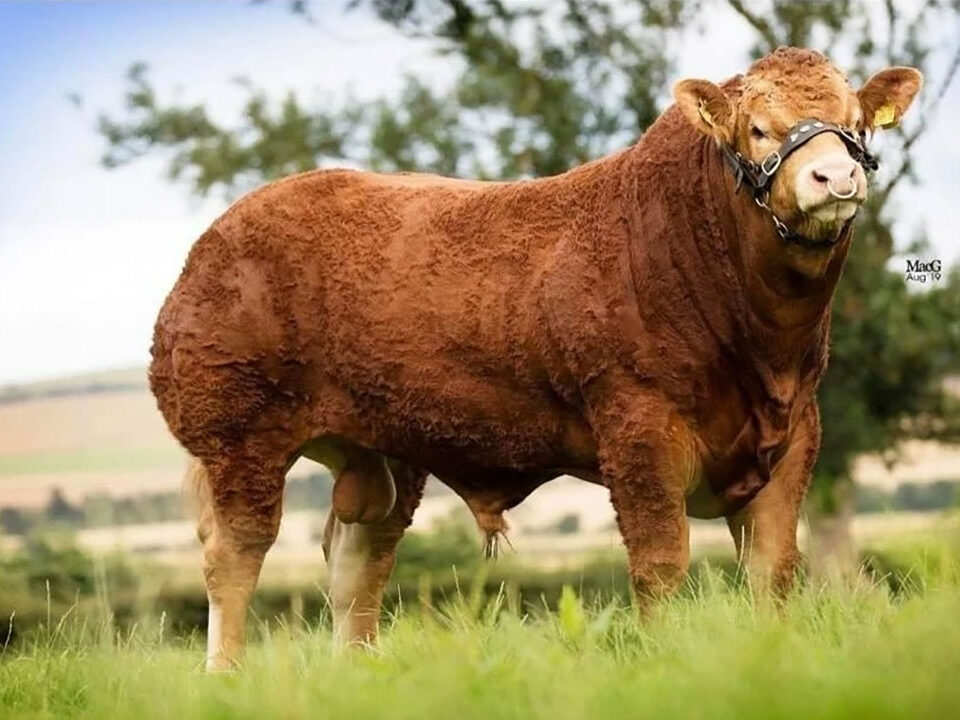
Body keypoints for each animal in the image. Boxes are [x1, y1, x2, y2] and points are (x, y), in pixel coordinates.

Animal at [149, 47, 922, 670]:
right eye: (758, 128)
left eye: (857, 122)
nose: (833, 176)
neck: (760, 347)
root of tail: (219, 234)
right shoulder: (638, 429)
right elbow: (660, 565)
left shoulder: (794, 435)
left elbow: (773, 568)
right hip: (240, 435)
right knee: (235, 557)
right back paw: (226, 677)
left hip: (383, 452)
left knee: (356, 563)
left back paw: (356, 675)